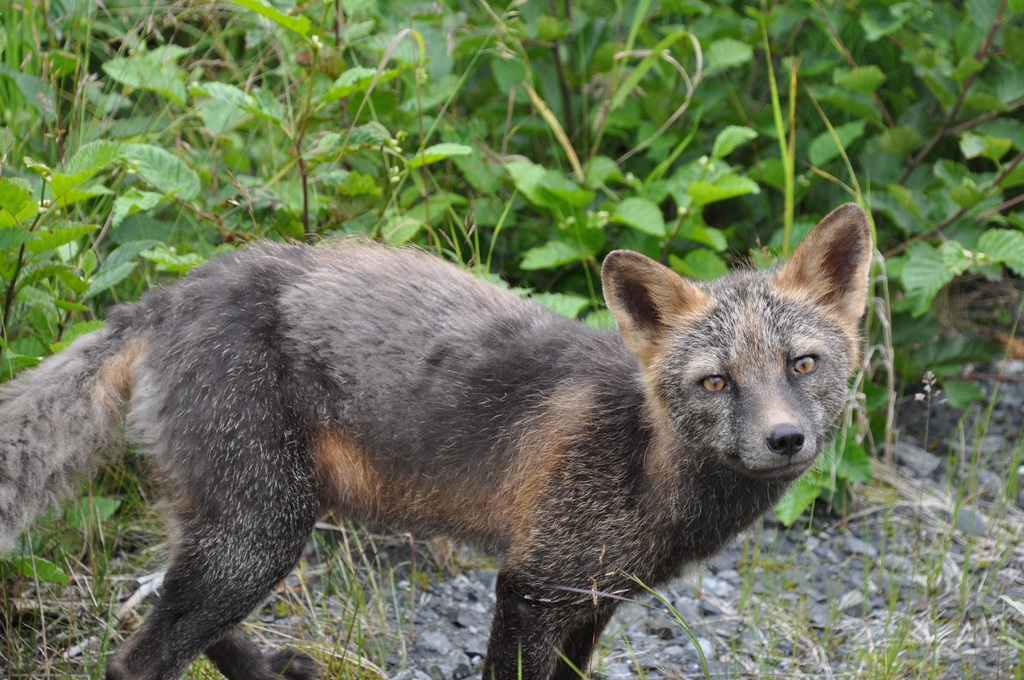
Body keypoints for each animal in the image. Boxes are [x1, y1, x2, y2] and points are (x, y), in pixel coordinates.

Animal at [0, 203, 871, 679]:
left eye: (802, 364)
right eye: (716, 382)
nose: (786, 439)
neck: (643, 456)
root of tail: (174, 292)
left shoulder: (591, 602)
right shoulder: (532, 587)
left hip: (232, 534)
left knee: (191, 634)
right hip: (263, 533)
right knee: (138, 659)